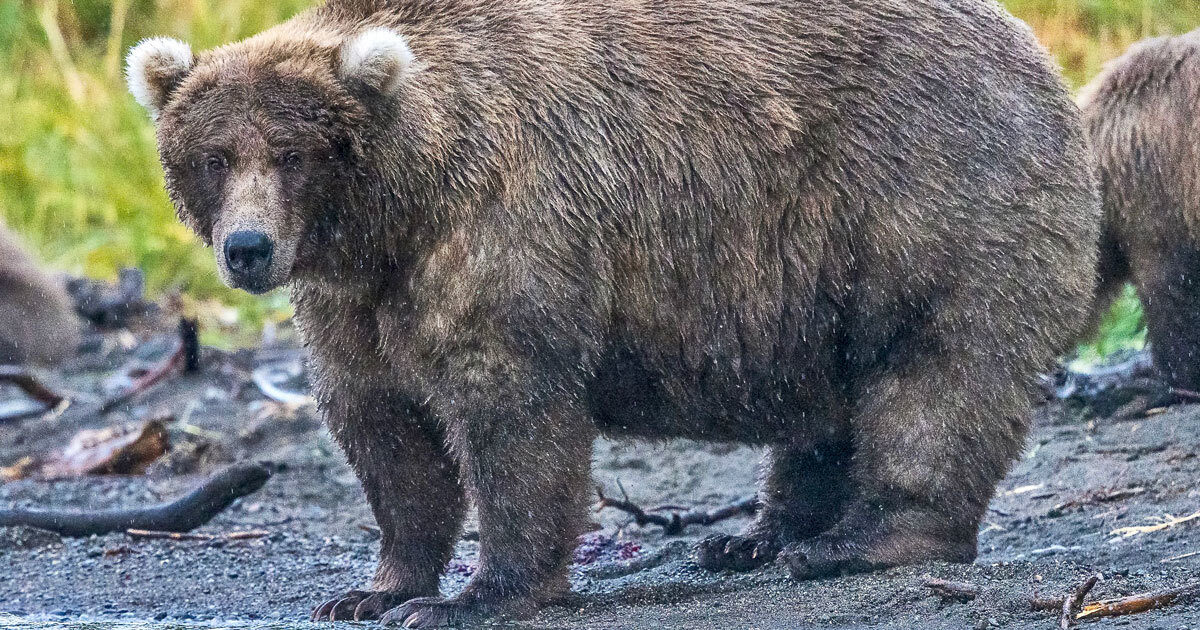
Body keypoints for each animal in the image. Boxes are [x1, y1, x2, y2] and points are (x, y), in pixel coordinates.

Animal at [127, 0, 1099, 626]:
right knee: (830, 398)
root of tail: (1038, 53)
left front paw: (477, 596)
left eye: (292, 153)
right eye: (214, 155)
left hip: (924, 191)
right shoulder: (351, 301)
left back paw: (859, 539)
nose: (248, 248)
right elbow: (384, 429)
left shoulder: (506, 225)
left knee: (932, 369)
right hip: (811, 276)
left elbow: (512, 413)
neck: (396, 213)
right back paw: (756, 536)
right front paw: (377, 588)